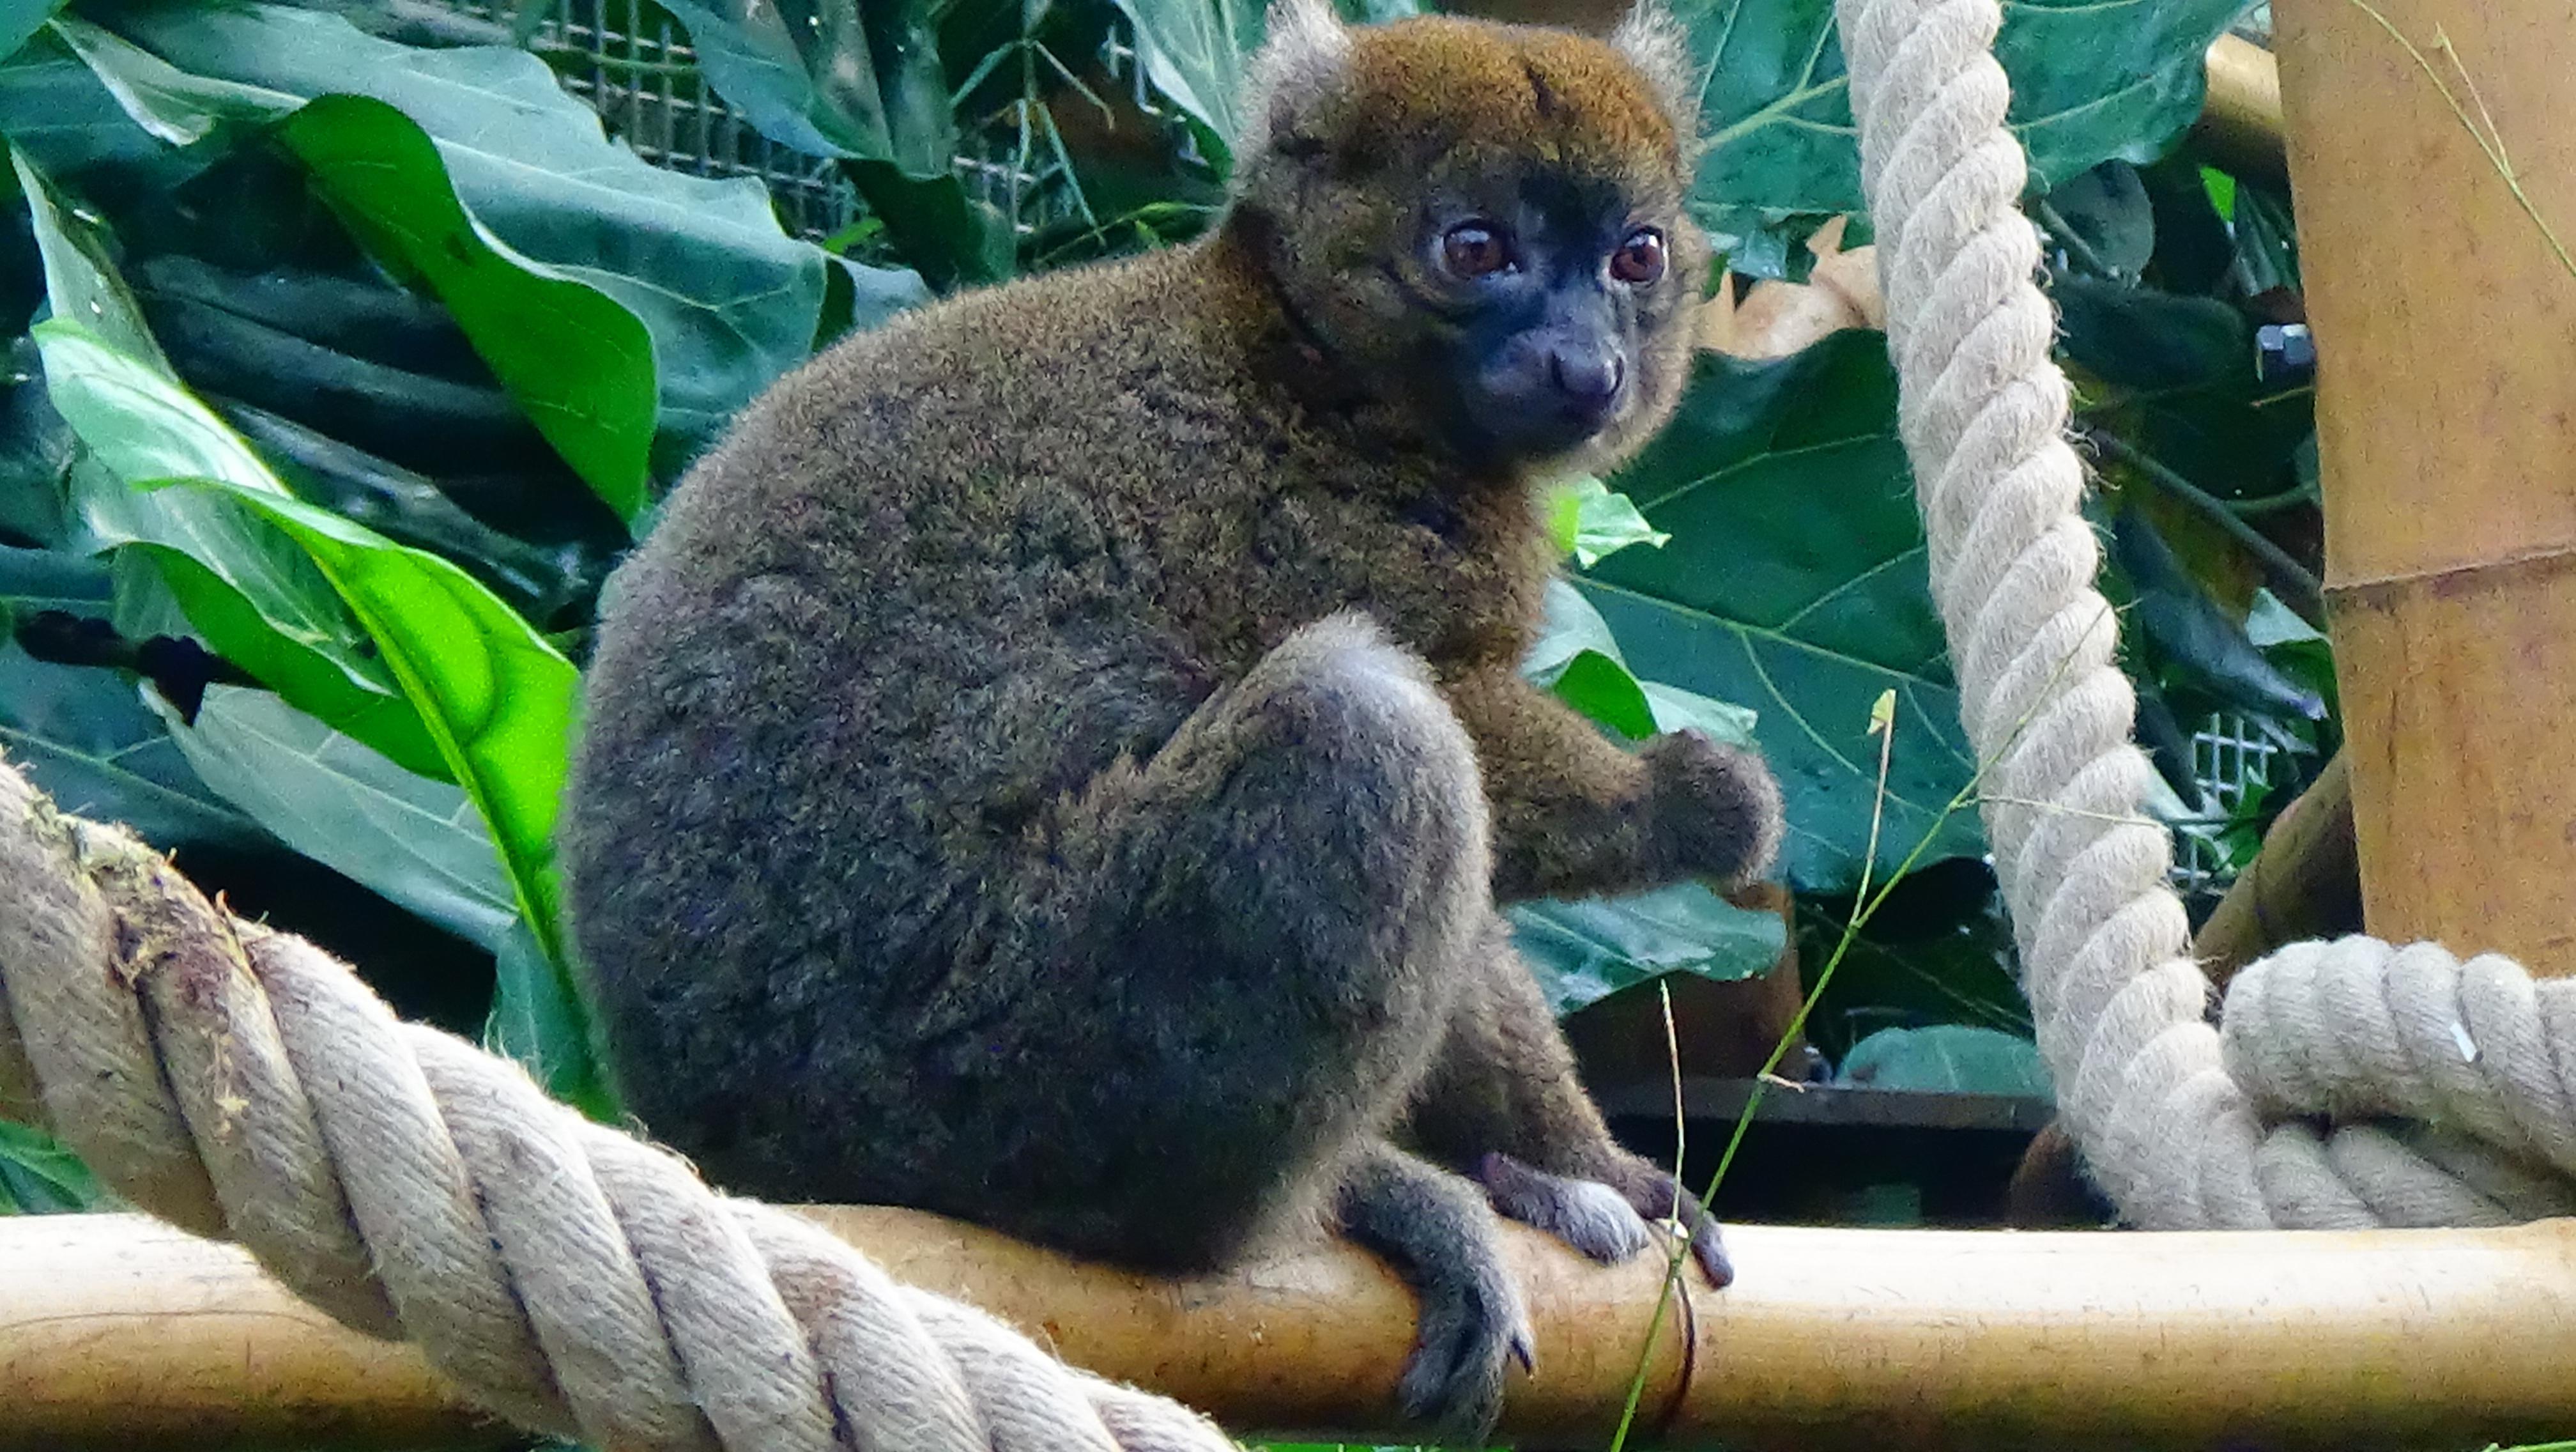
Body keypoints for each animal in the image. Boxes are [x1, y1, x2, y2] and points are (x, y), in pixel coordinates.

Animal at [559, 0, 1781, 1435]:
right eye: (1477, 250)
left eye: (1634, 257)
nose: (1587, 362)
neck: (1316, 361)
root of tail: (719, 1122)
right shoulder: (1323, 534)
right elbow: (1462, 730)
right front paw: (1687, 810)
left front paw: (1573, 1159)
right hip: (987, 1067)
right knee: (1368, 726)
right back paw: (1335, 1202)